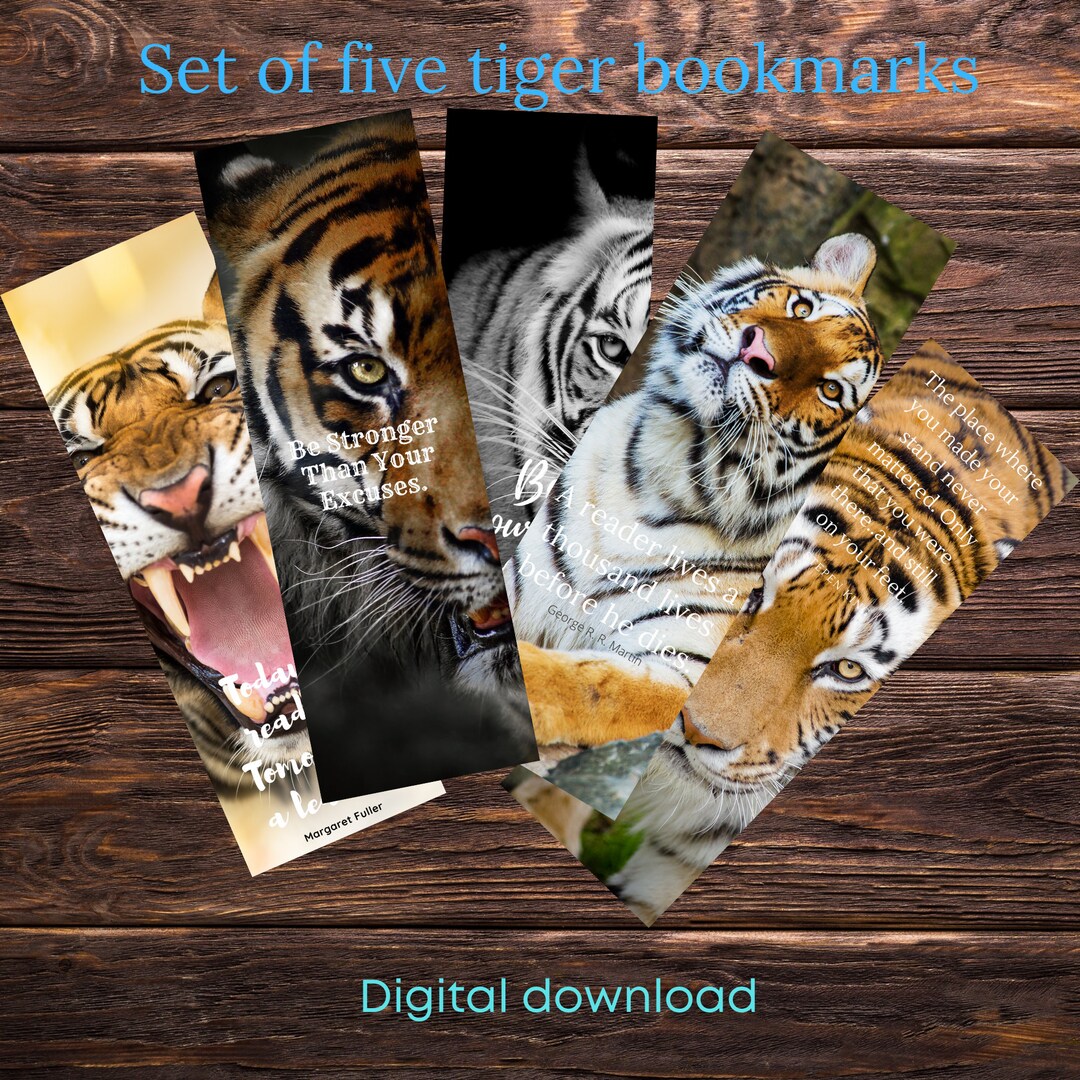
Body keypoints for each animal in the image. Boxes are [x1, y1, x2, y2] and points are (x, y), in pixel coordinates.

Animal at [509, 232, 883, 761]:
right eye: (802, 308)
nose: (758, 353)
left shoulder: (681, 671)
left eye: (830, 390)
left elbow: (584, 684)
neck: (666, 474)